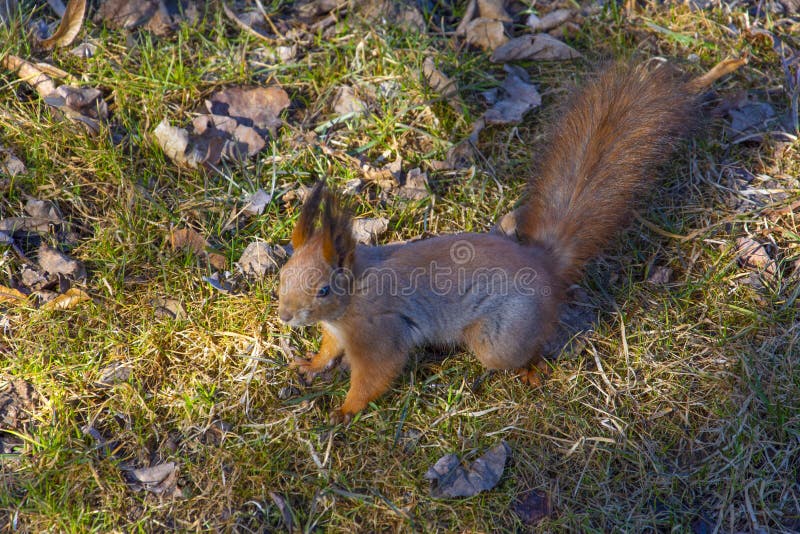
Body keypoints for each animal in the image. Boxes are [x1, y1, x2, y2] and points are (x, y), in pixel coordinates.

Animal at [277, 58, 746, 424]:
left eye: (323, 289)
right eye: (281, 275)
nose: (284, 316)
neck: (350, 301)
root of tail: (544, 263)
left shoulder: (379, 332)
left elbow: (375, 375)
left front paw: (344, 410)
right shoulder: (337, 333)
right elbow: (328, 351)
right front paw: (310, 365)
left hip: (500, 335)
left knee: (524, 348)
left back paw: (531, 369)